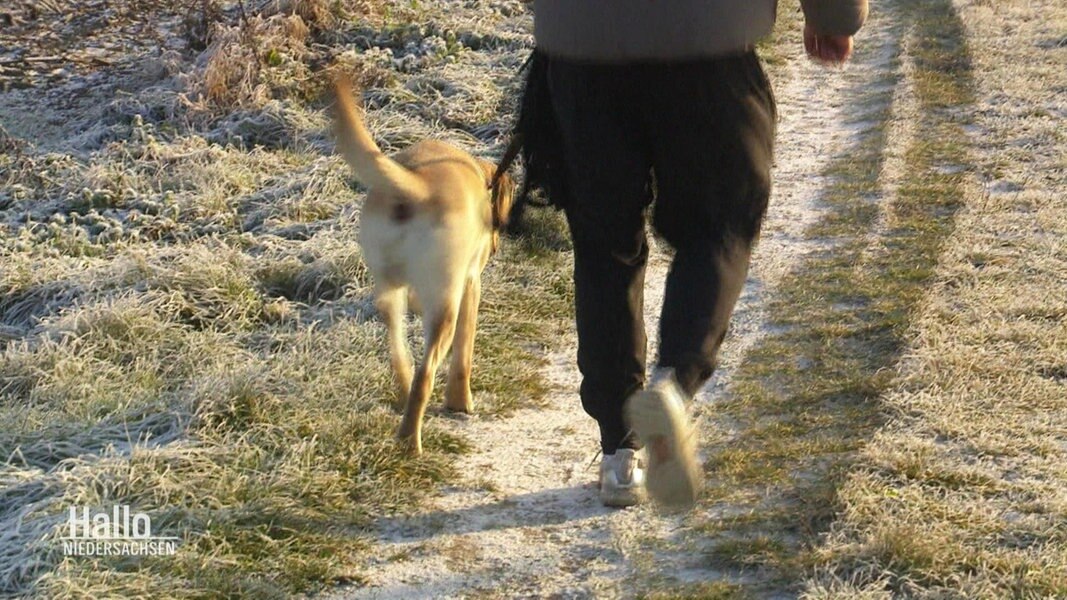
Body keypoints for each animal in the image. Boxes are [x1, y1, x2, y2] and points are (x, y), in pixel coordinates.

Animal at [335, 78, 514, 452]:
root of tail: (415, 187)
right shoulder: (470, 285)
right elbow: (464, 354)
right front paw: (461, 401)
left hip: (387, 289)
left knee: (399, 350)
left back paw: (403, 396)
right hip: (446, 304)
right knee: (426, 372)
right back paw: (409, 440)